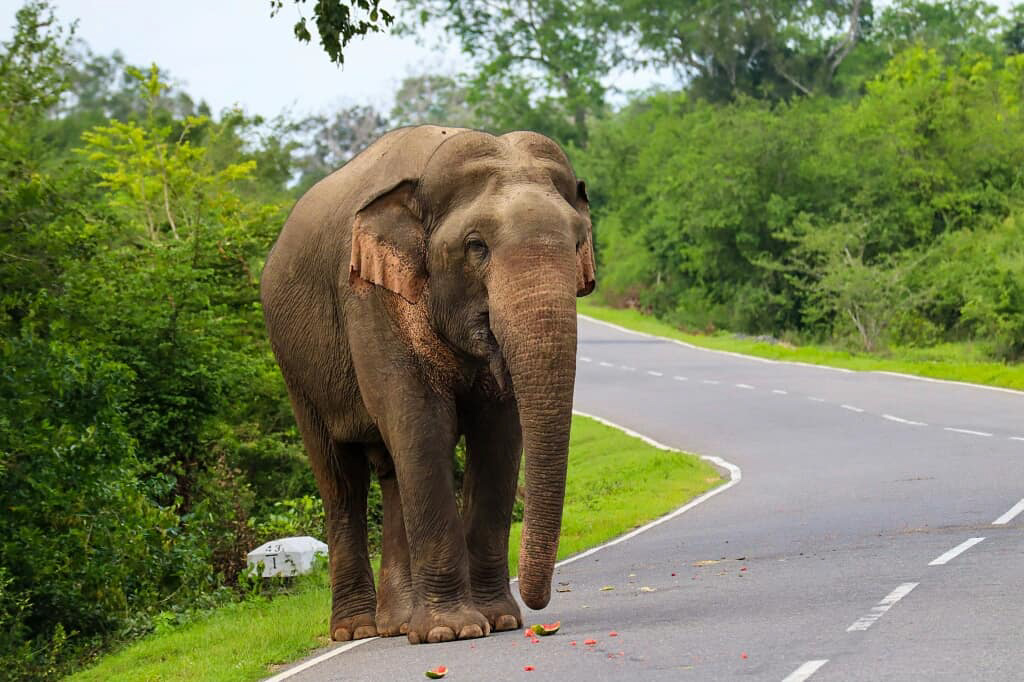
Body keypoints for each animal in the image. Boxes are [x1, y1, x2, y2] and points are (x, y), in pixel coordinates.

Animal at [260, 125, 596, 645]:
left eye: (578, 241)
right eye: (477, 245)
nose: (541, 612)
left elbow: (499, 436)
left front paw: (499, 620)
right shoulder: (371, 298)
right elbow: (421, 424)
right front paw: (452, 632)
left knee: (391, 472)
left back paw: (397, 624)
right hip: (295, 368)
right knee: (341, 480)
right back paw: (357, 629)